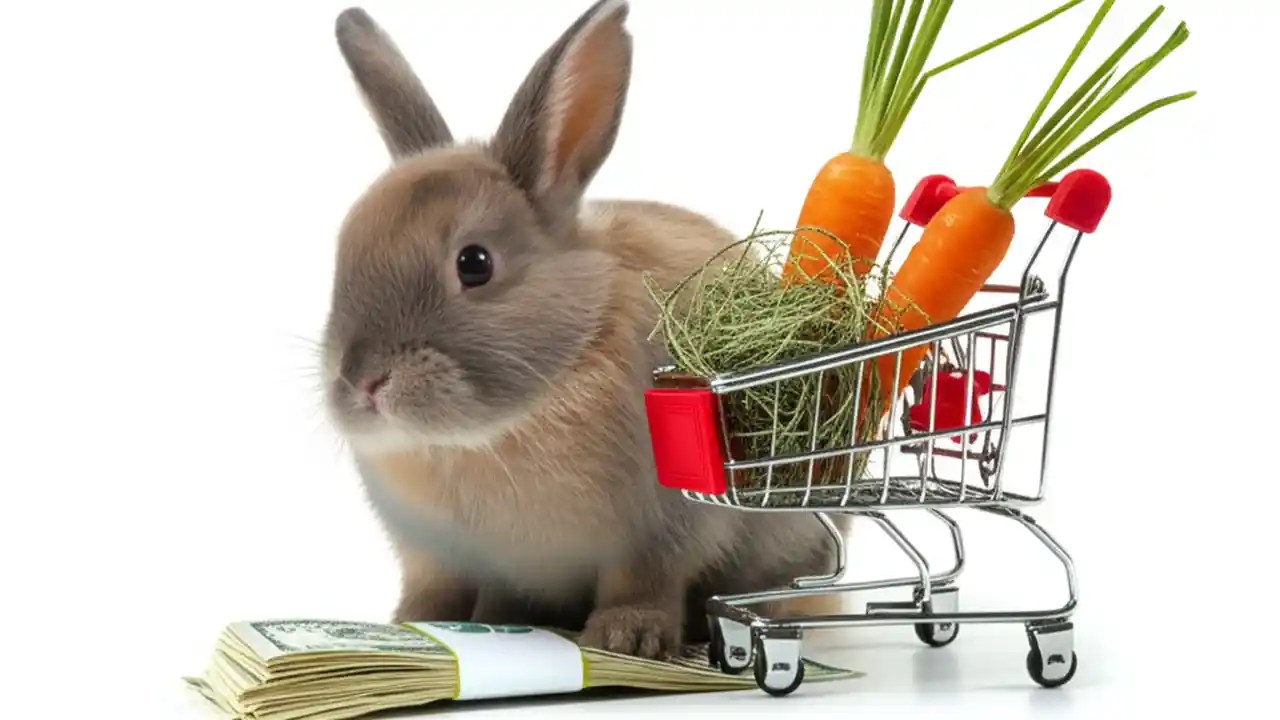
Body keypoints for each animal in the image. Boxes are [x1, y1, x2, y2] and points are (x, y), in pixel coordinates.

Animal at [320, 0, 848, 659]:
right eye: (342, 258)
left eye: (475, 263)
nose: (363, 382)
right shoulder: (438, 554)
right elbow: (439, 592)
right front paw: (408, 624)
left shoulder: (661, 530)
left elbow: (643, 581)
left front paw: (627, 637)